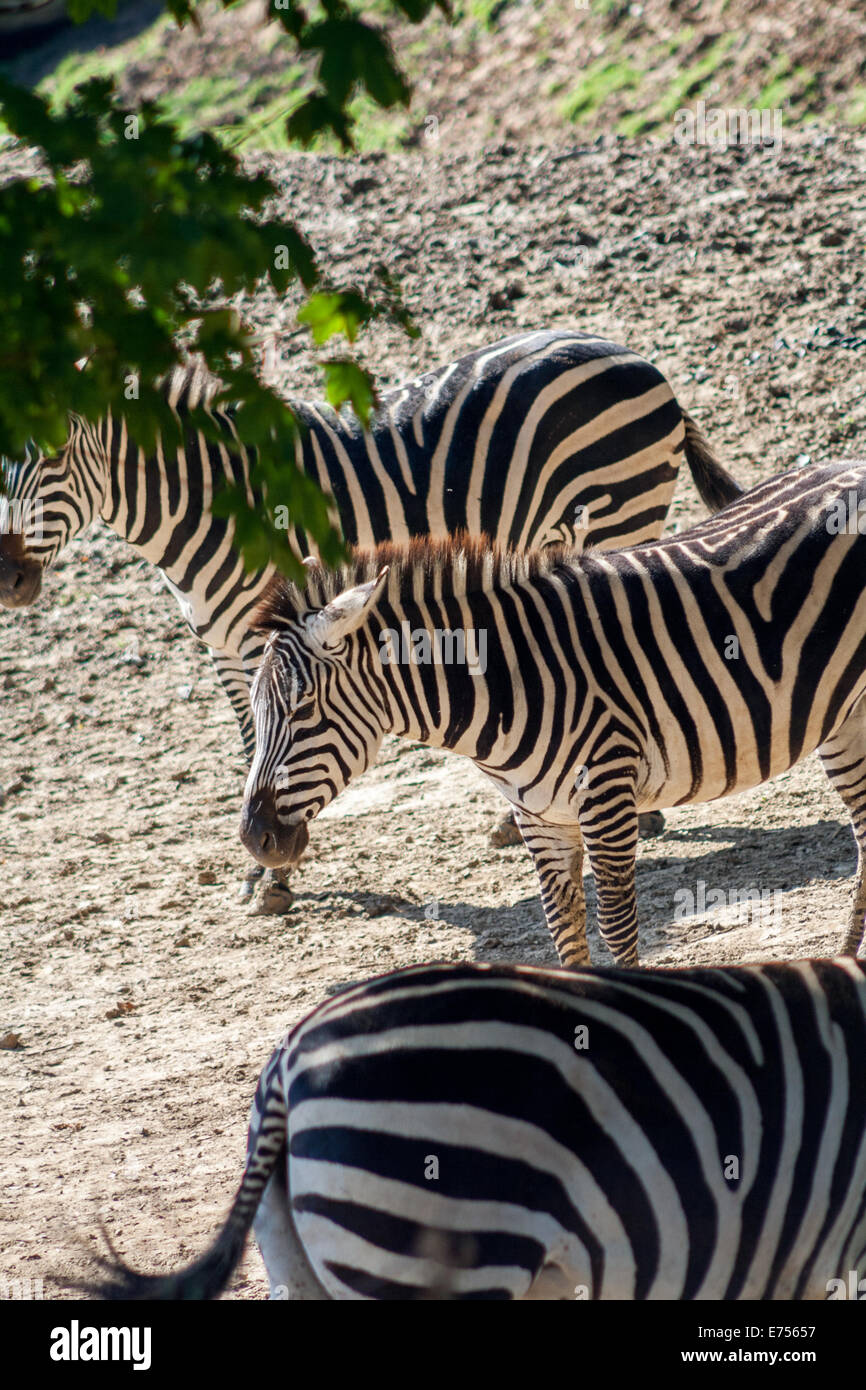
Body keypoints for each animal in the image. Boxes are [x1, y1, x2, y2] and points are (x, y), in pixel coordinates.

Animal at [0, 330, 739, 887]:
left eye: (58, 455)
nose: (7, 578)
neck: (216, 505)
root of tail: (631, 354)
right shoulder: (223, 647)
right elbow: (251, 741)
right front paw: (260, 869)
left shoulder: (268, 633)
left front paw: (275, 877)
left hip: (622, 510)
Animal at [240, 461, 866, 969]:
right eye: (256, 712)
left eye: (301, 709)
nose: (252, 838)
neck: (508, 682)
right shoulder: (539, 816)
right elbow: (565, 932)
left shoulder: (607, 795)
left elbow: (615, 928)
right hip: (844, 720)